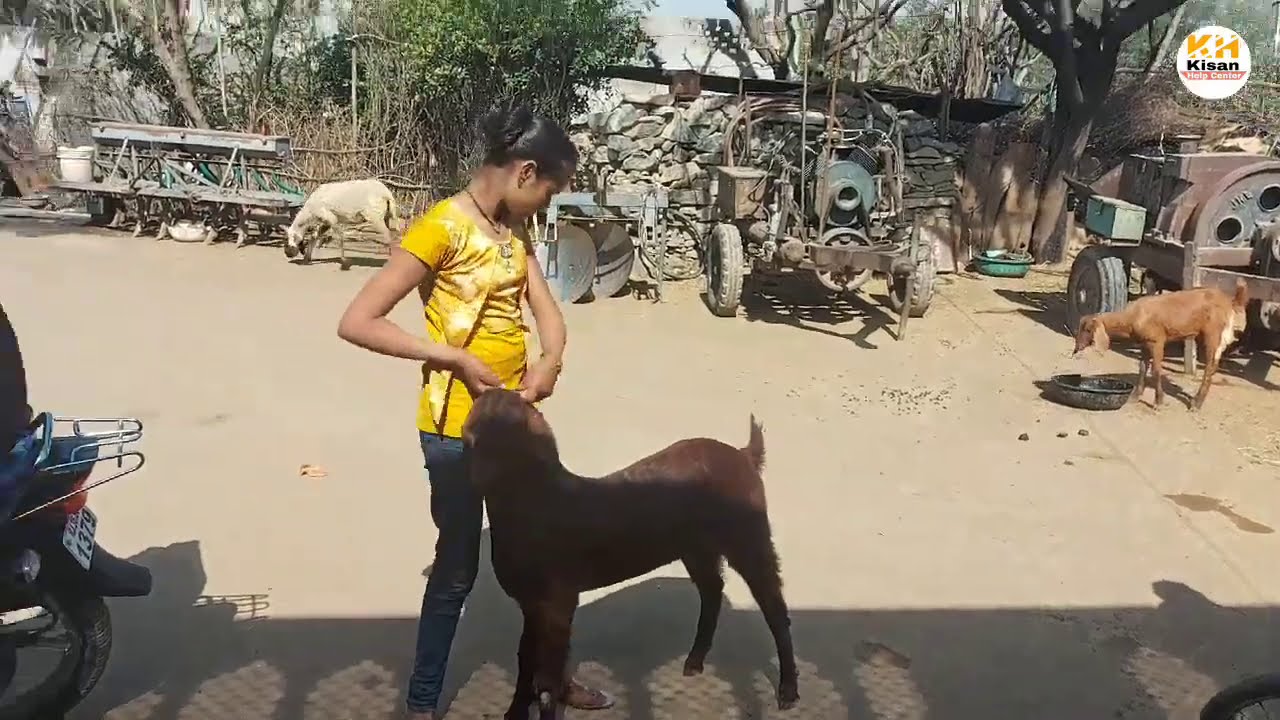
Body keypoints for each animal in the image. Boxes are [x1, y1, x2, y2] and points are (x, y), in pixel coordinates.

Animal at [461, 389, 799, 720]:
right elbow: (525, 661)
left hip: (748, 536)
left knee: (774, 607)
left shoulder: (558, 602)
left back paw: (788, 691)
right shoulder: (530, 603)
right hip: (696, 547)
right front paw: (514, 712)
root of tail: (744, 455)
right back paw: (695, 659)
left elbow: (548, 681)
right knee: (713, 589)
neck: (535, 503)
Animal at [1073, 279, 1249, 410]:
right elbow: (1142, 368)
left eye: (1088, 329)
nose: (1077, 348)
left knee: (1210, 367)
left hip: (1214, 334)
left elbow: (1156, 371)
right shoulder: (1144, 343)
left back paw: (1196, 403)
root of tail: (1230, 302)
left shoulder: (1156, 341)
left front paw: (1158, 401)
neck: (1133, 317)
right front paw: (1135, 396)